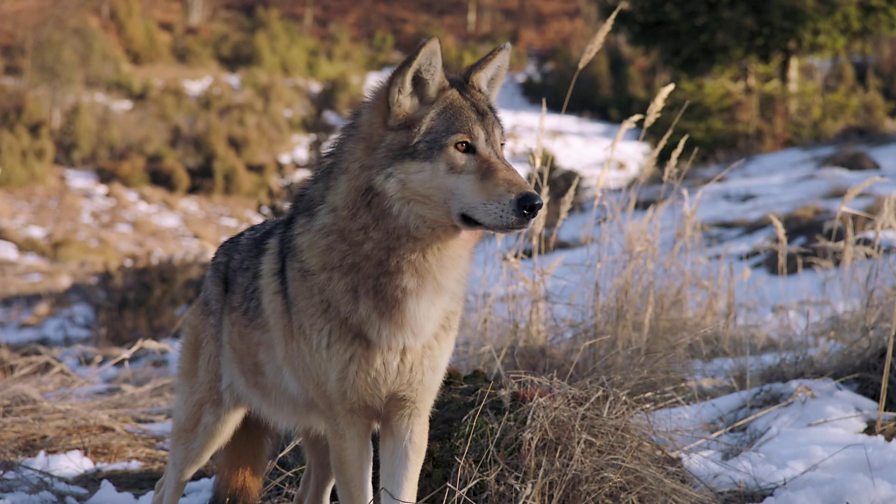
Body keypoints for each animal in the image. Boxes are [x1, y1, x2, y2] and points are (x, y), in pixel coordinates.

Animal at [152, 38, 542, 504]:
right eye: (463, 147)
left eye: (501, 147)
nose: (533, 203)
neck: (410, 276)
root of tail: (216, 261)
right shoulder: (351, 422)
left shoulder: (409, 417)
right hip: (211, 426)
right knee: (165, 483)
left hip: (315, 439)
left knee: (310, 491)